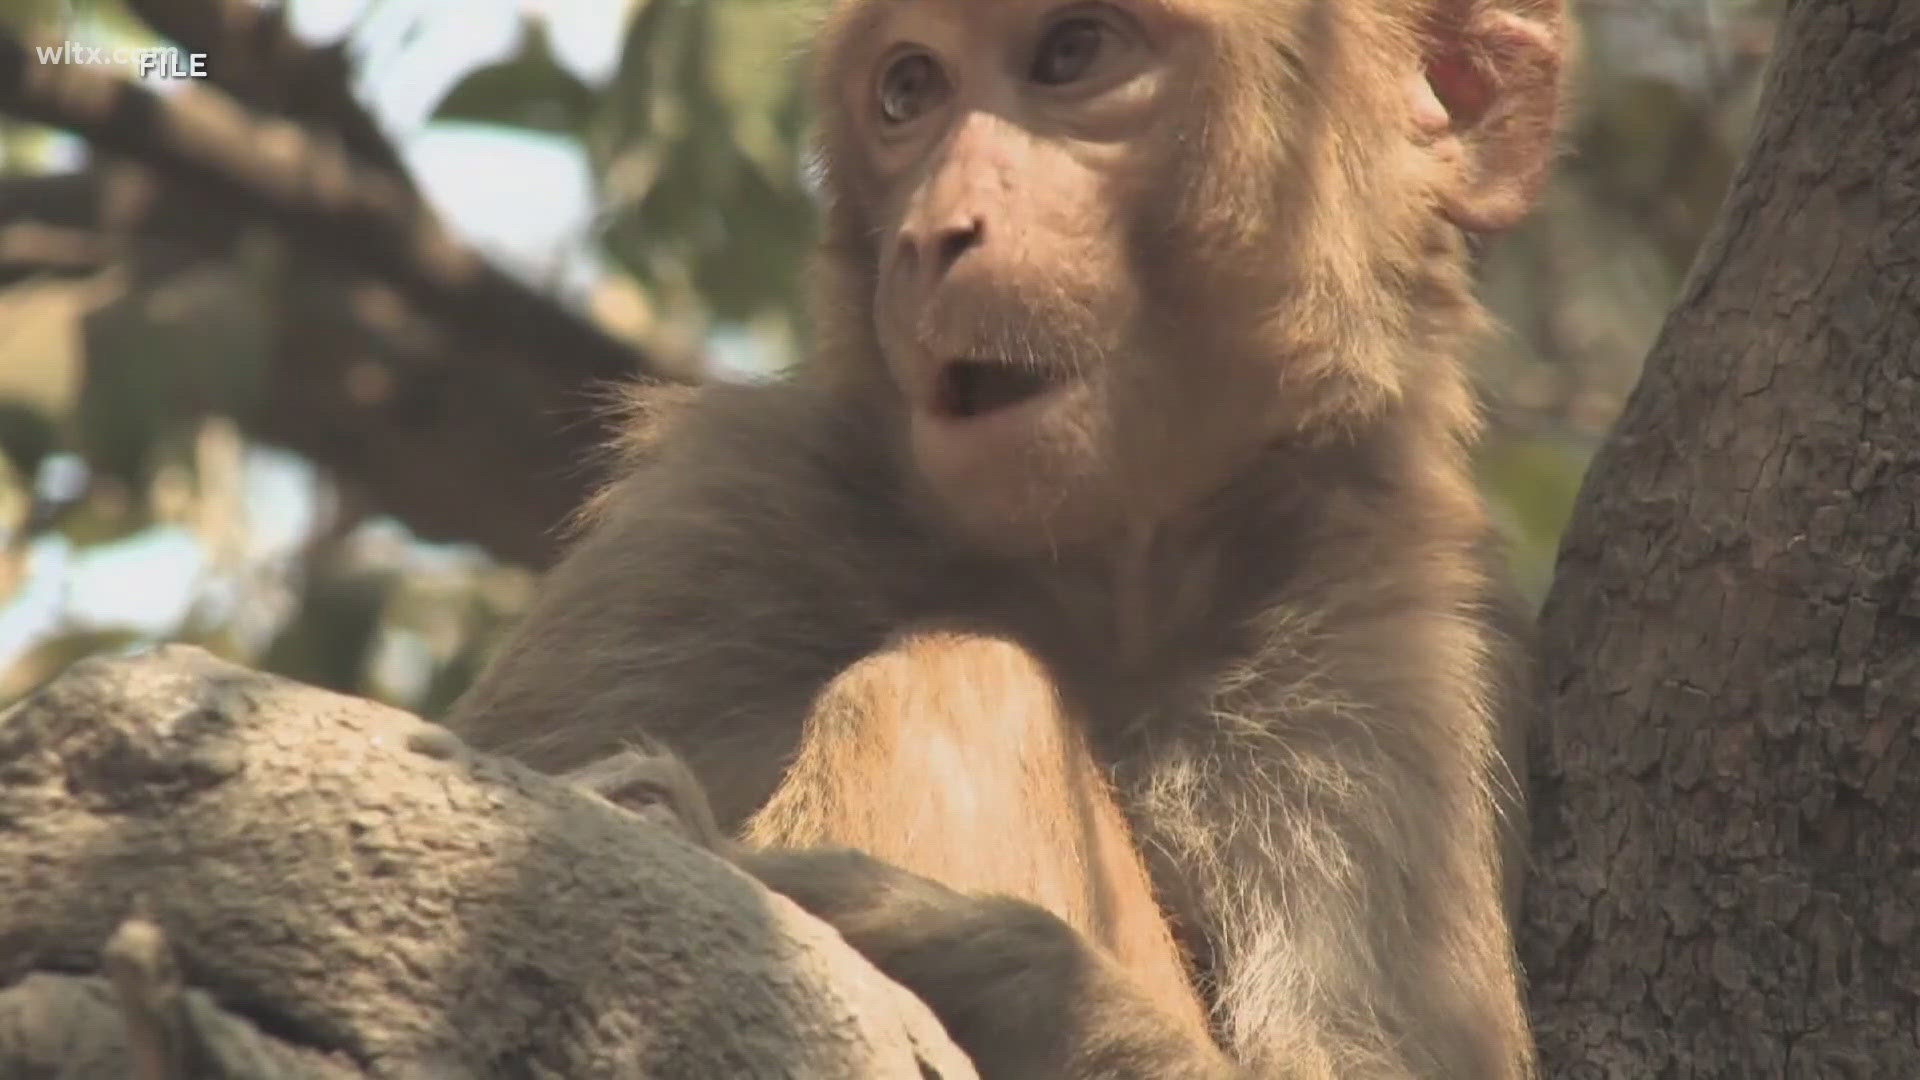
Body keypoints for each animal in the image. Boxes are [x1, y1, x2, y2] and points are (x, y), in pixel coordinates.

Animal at [449, 0, 1567, 1075]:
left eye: (1072, 53)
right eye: (910, 90)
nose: (932, 233)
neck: (1109, 577)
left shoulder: (1401, 646)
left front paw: (936, 940)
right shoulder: (717, 515)